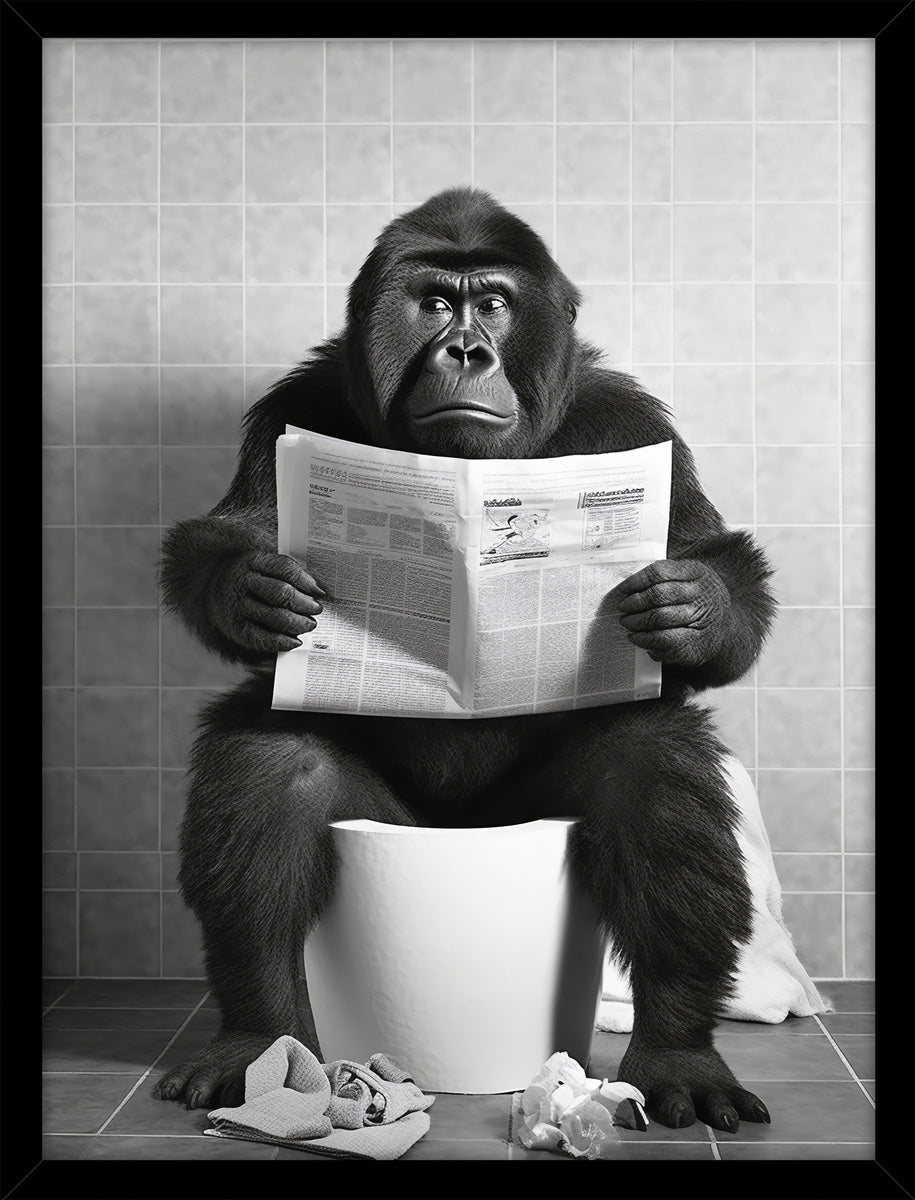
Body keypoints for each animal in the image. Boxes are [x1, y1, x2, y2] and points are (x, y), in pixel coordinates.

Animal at [155, 187, 775, 1133]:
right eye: (435, 303)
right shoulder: (292, 410)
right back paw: (257, 1040)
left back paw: (678, 1049)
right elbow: (223, 547)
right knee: (273, 762)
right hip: (398, 826)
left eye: (492, 305)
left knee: (651, 760)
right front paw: (247, 589)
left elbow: (713, 568)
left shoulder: (629, 422)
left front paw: (693, 605)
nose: (466, 349)